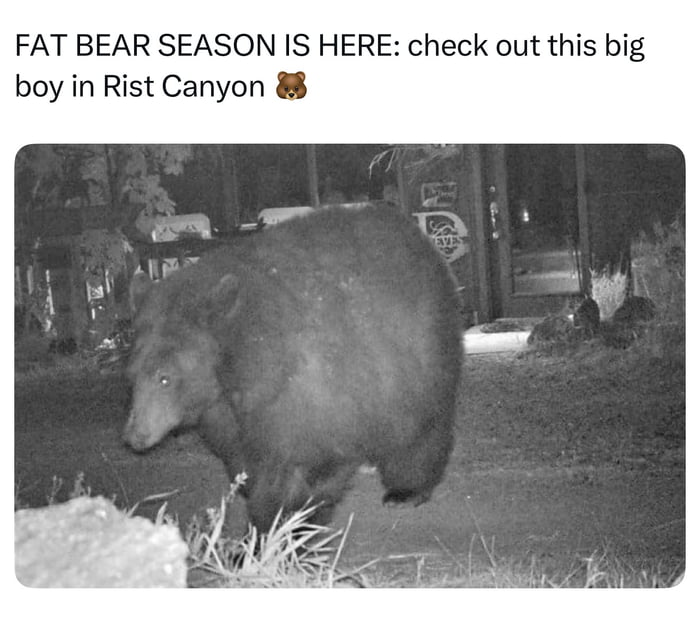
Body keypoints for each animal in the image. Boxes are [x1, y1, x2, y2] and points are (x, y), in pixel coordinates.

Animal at [123, 204, 463, 533]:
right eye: (131, 377)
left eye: (165, 378)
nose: (134, 437)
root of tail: (416, 235)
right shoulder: (233, 416)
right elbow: (246, 462)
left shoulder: (310, 394)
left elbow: (305, 470)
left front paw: (284, 530)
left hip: (418, 354)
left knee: (419, 428)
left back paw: (406, 490)